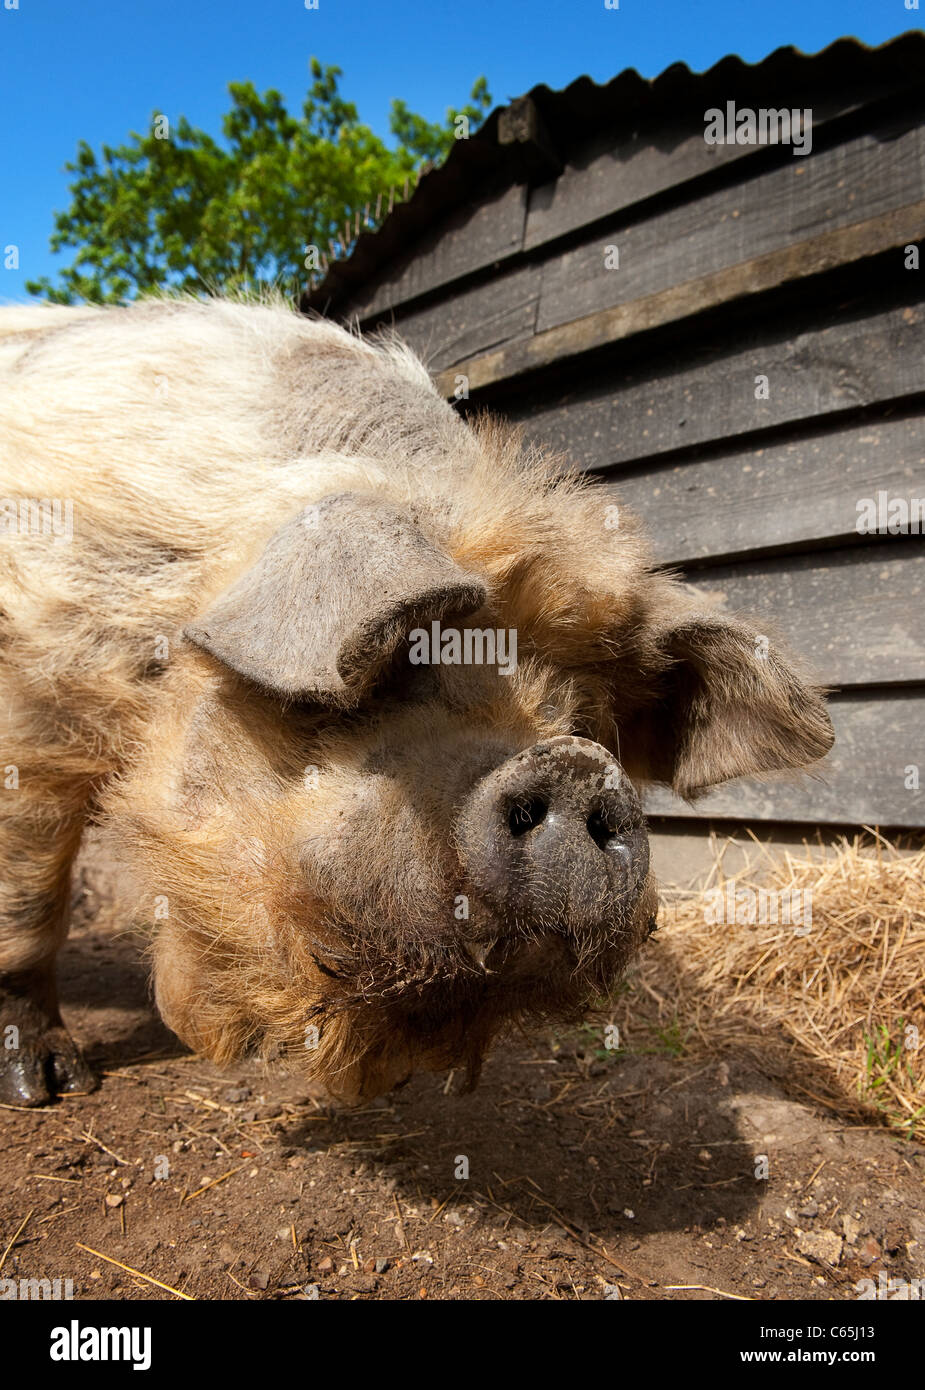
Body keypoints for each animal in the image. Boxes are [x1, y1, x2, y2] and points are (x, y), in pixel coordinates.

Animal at [0, 295, 834, 1106]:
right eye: (393, 669)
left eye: (587, 719)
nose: (575, 766)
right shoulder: (29, 705)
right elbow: (28, 893)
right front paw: (51, 1088)